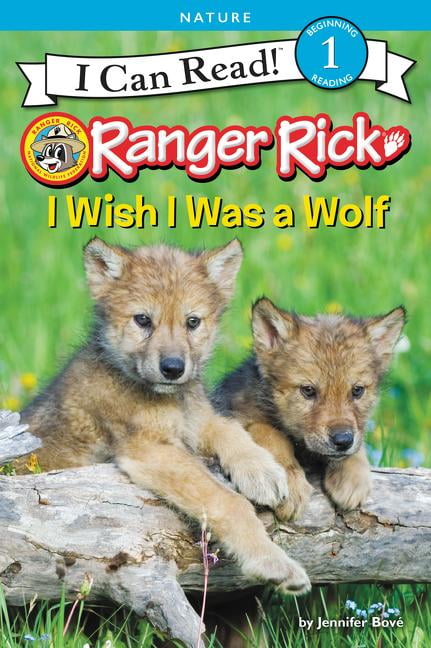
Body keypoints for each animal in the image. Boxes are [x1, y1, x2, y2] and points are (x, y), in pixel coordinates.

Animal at [21, 239, 310, 594]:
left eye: (192, 322)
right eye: (143, 320)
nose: (173, 368)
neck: (169, 399)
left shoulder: (199, 420)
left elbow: (230, 429)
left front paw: (263, 471)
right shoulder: (148, 450)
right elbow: (226, 500)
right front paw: (273, 563)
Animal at [213, 298, 406, 520]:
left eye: (357, 391)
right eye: (308, 390)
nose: (342, 441)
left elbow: (359, 440)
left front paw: (352, 477)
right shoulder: (235, 415)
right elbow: (270, 434)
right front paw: (291, 486)